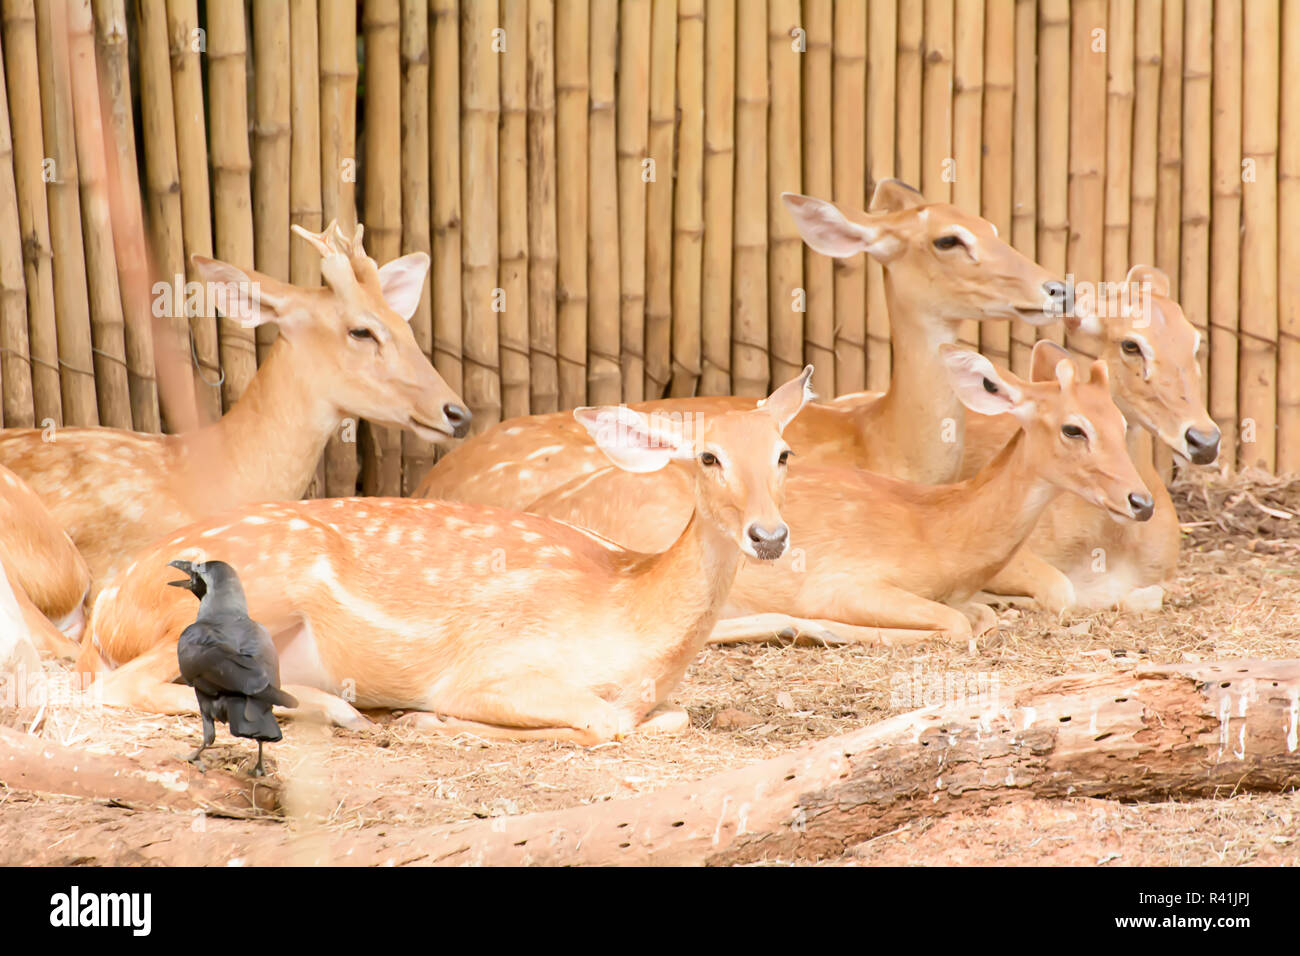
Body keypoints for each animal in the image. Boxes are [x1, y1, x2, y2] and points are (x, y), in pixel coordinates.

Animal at [77, 369, 815, 741]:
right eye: (709, 457)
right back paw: (344, 711)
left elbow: (665, 715)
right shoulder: (494, 666)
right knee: (115, 685)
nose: (770, 535)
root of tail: (106, 606)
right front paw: (432, 715)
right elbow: (607, 721)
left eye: (784, 452)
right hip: (237, 595)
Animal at [525, 342, 1153, 645]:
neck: (941, 535)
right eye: (1074, 428)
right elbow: (958, 627)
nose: (1141, 501)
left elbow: (980, 618)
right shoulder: (847, 581)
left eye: (1123, 422)